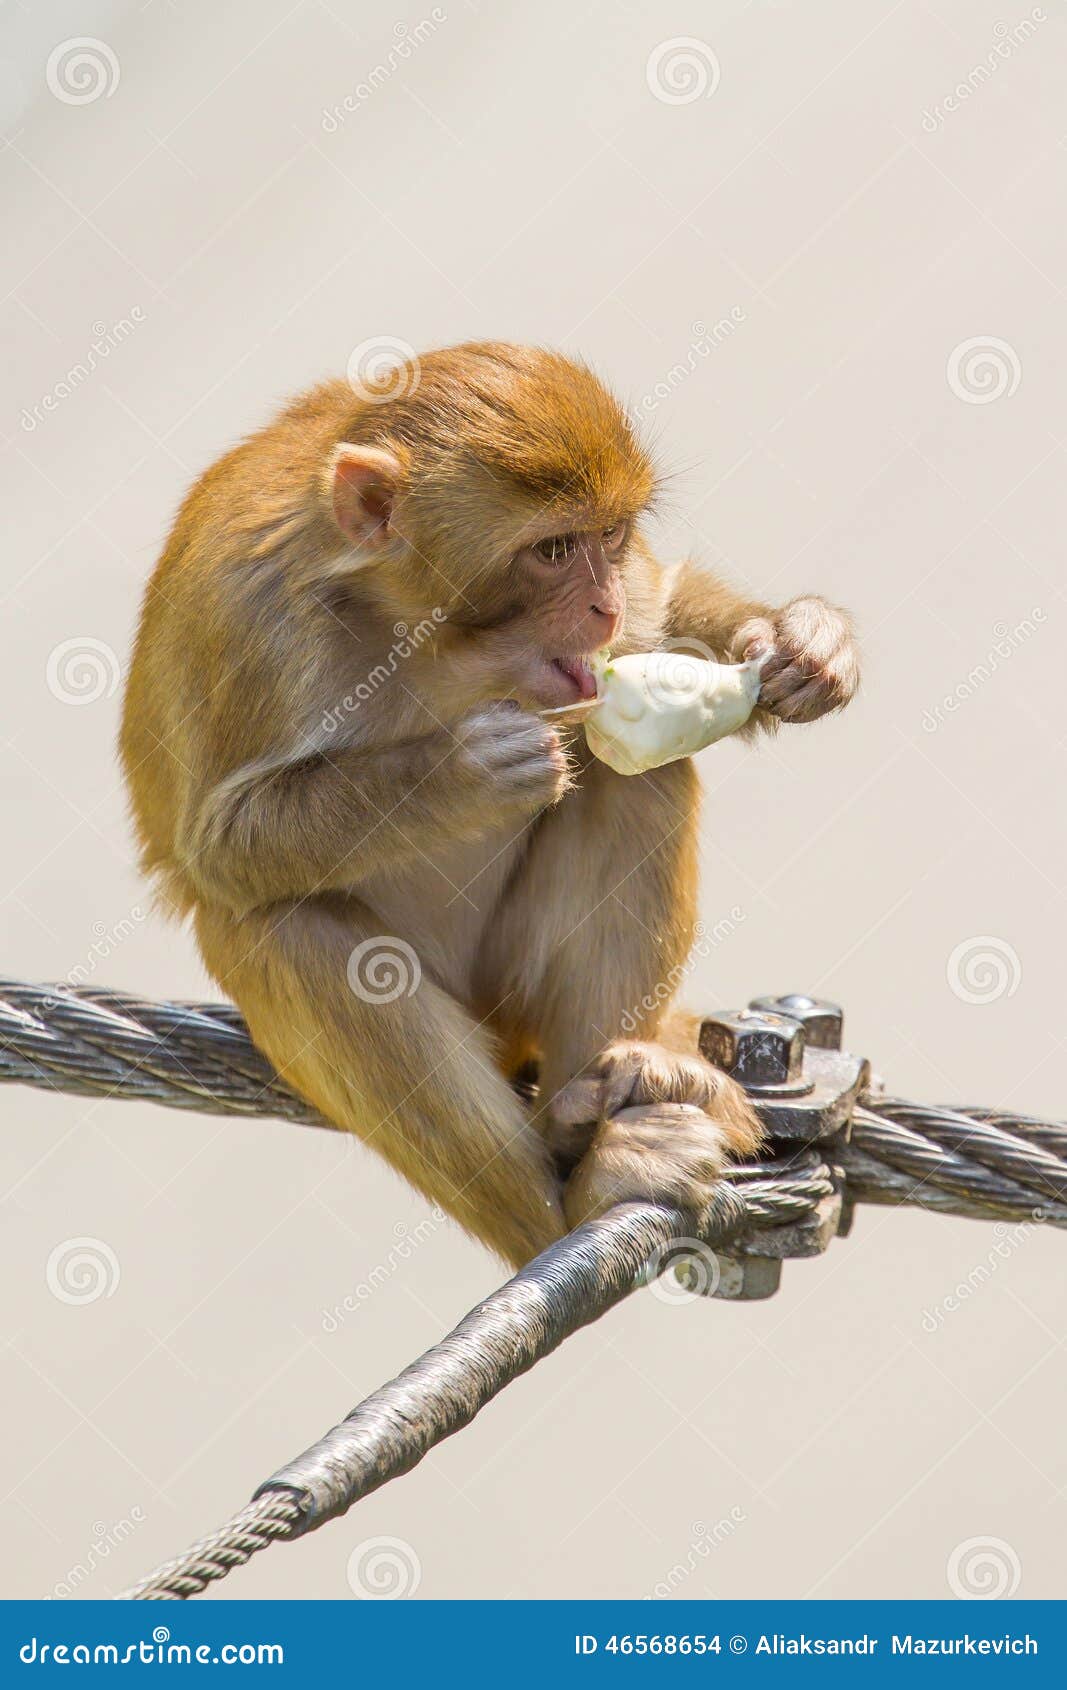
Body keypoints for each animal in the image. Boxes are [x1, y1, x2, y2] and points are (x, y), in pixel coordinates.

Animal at [120, 342, 858, 1270]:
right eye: (551, 550)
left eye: (609, 537)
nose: (603, 606)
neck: (415, 631)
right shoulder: (253, 622)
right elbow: (219, 847)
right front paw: (462, 772)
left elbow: (663, 618)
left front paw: (801, 643)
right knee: (289, 929)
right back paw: (580, 1195)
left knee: (633, 777)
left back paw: (613, 1095)